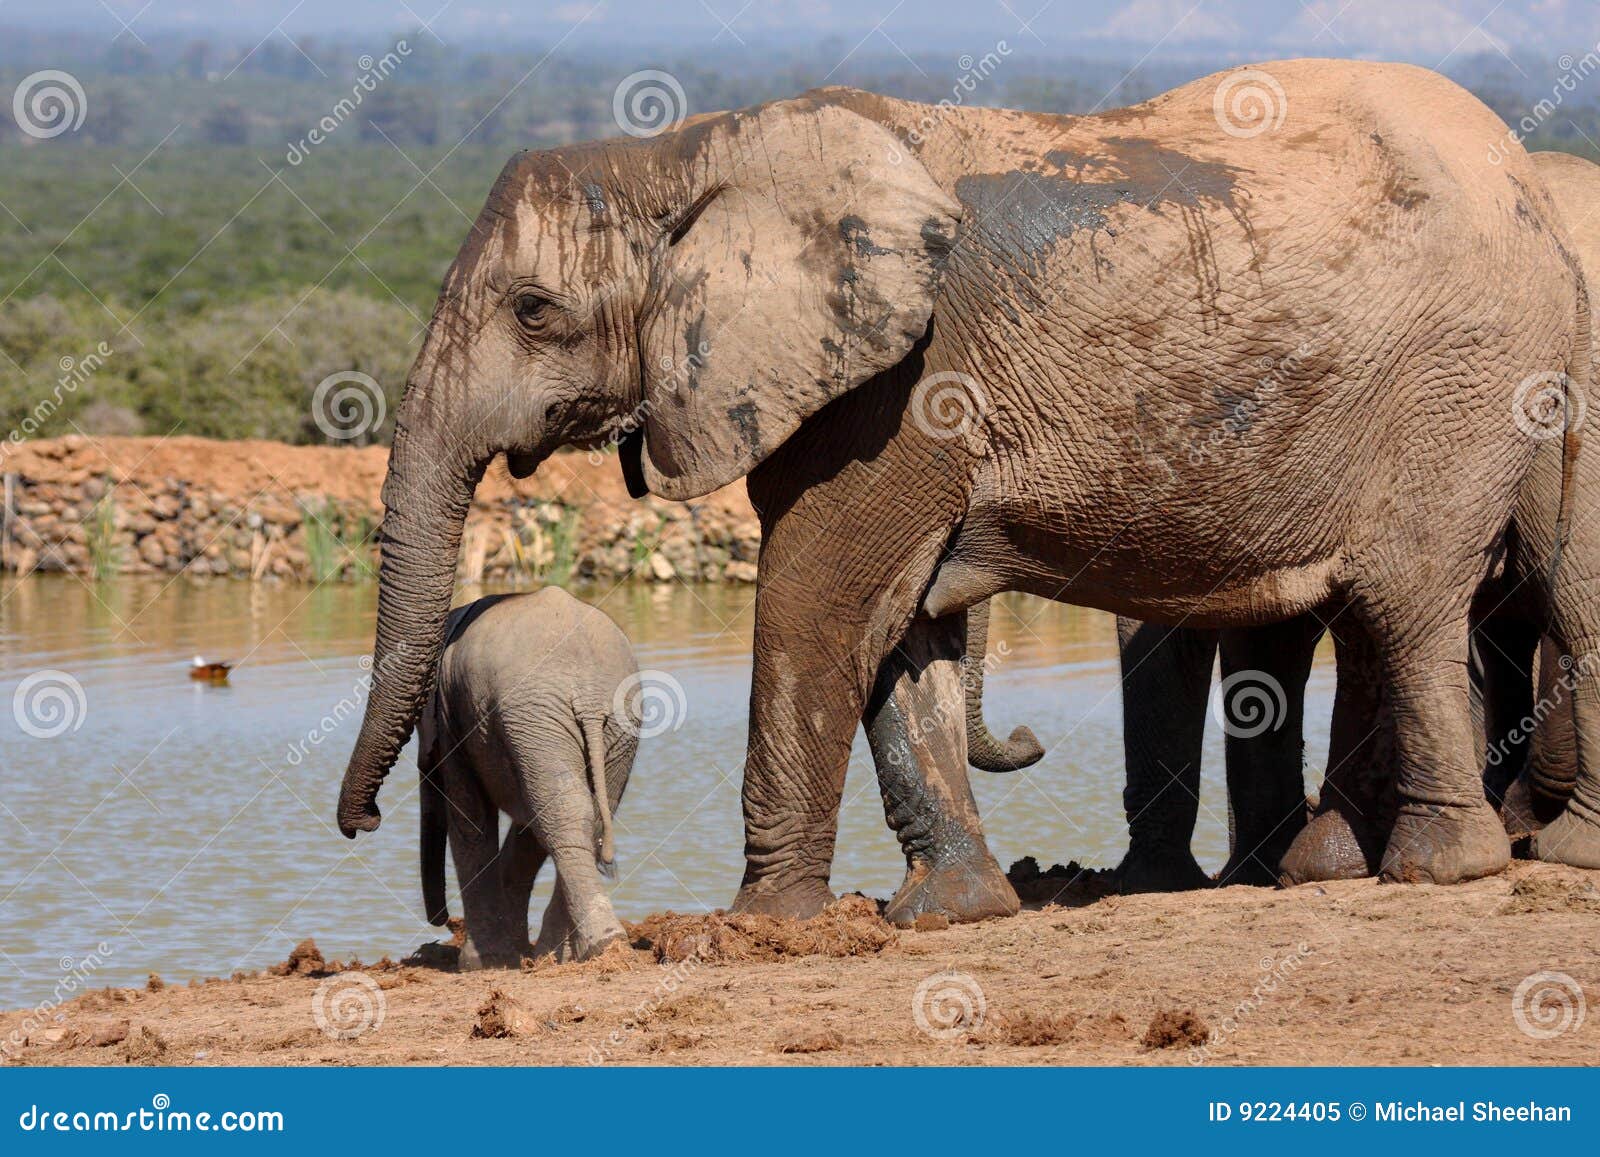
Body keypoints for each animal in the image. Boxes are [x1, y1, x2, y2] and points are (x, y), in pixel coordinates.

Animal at [418, 588, 640, 967]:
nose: (441, 920)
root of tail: (590, 700)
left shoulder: (451, 718)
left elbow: (470, 821)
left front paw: (481, 964)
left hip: (541, 719)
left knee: (560, 815)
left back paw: (585, 948)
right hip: (600, 725)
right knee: (578, 815)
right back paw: (564, 954)